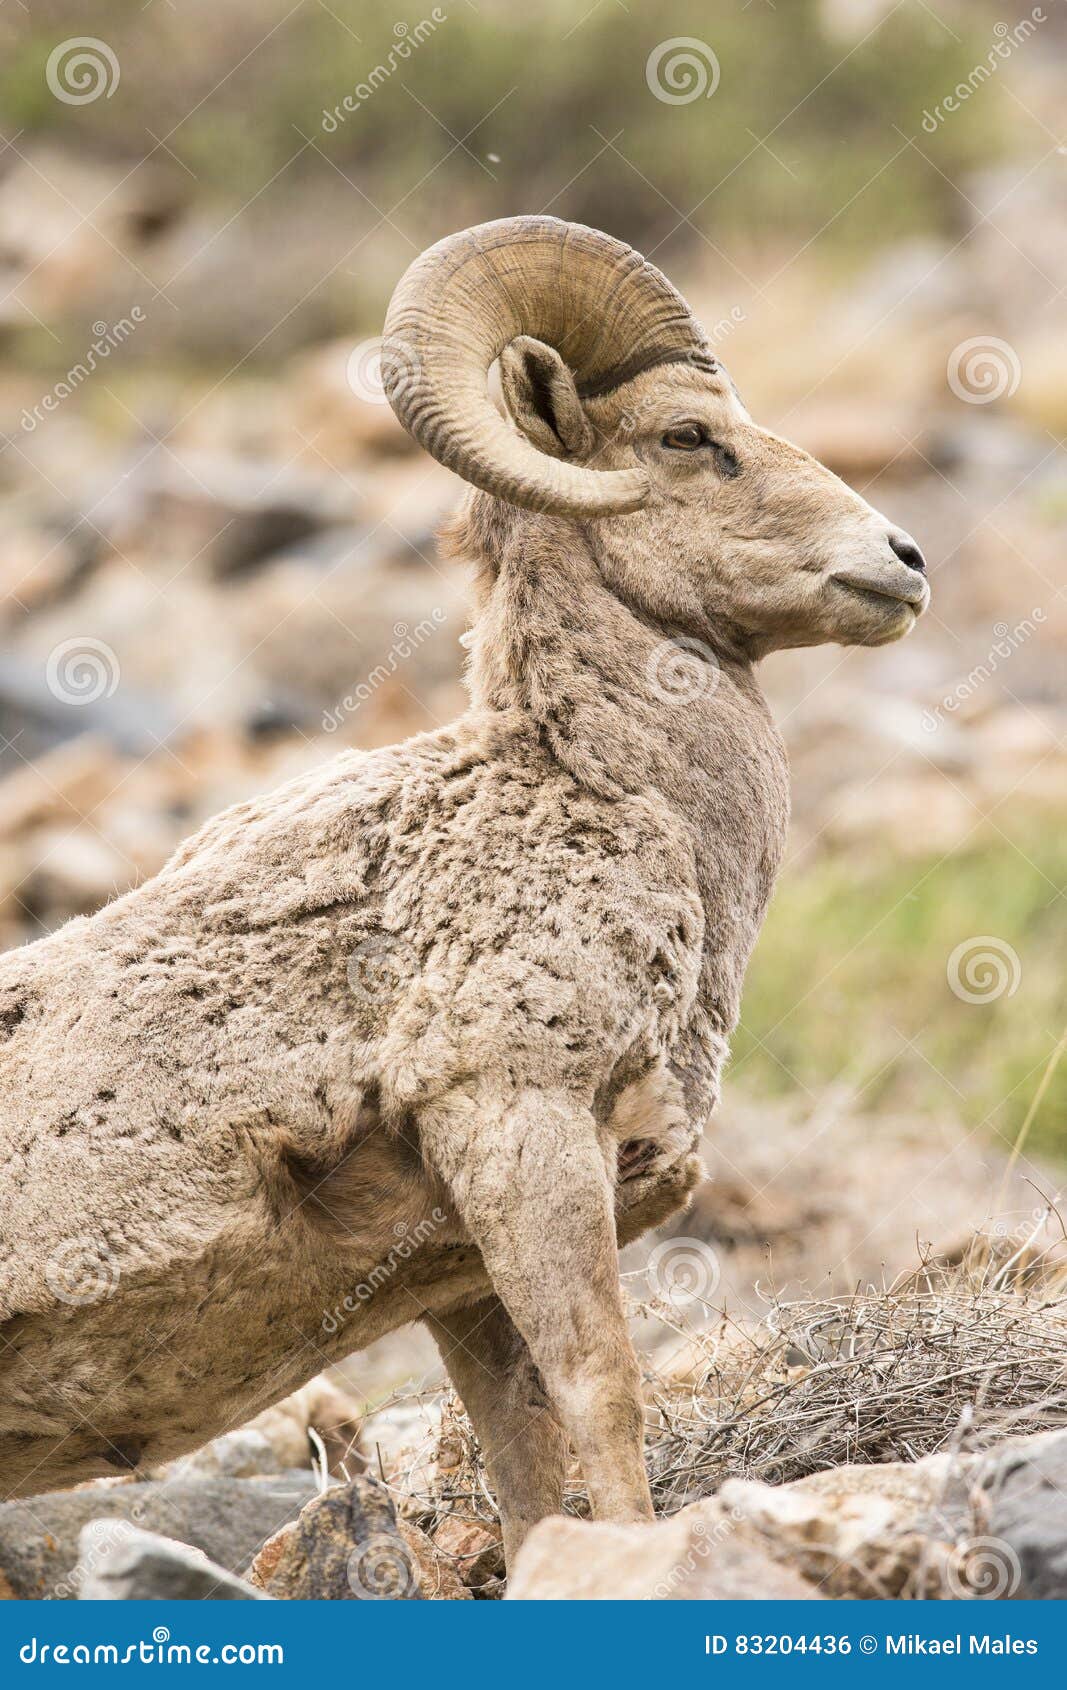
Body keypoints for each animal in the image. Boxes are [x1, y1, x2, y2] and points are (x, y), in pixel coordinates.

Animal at [0, 216, 928, 1561]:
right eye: (685, 437)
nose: (903, 563)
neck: (594, 794)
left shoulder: (460, 1276)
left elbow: (527, 1465)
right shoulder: (518, 1125)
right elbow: (601, 1394)